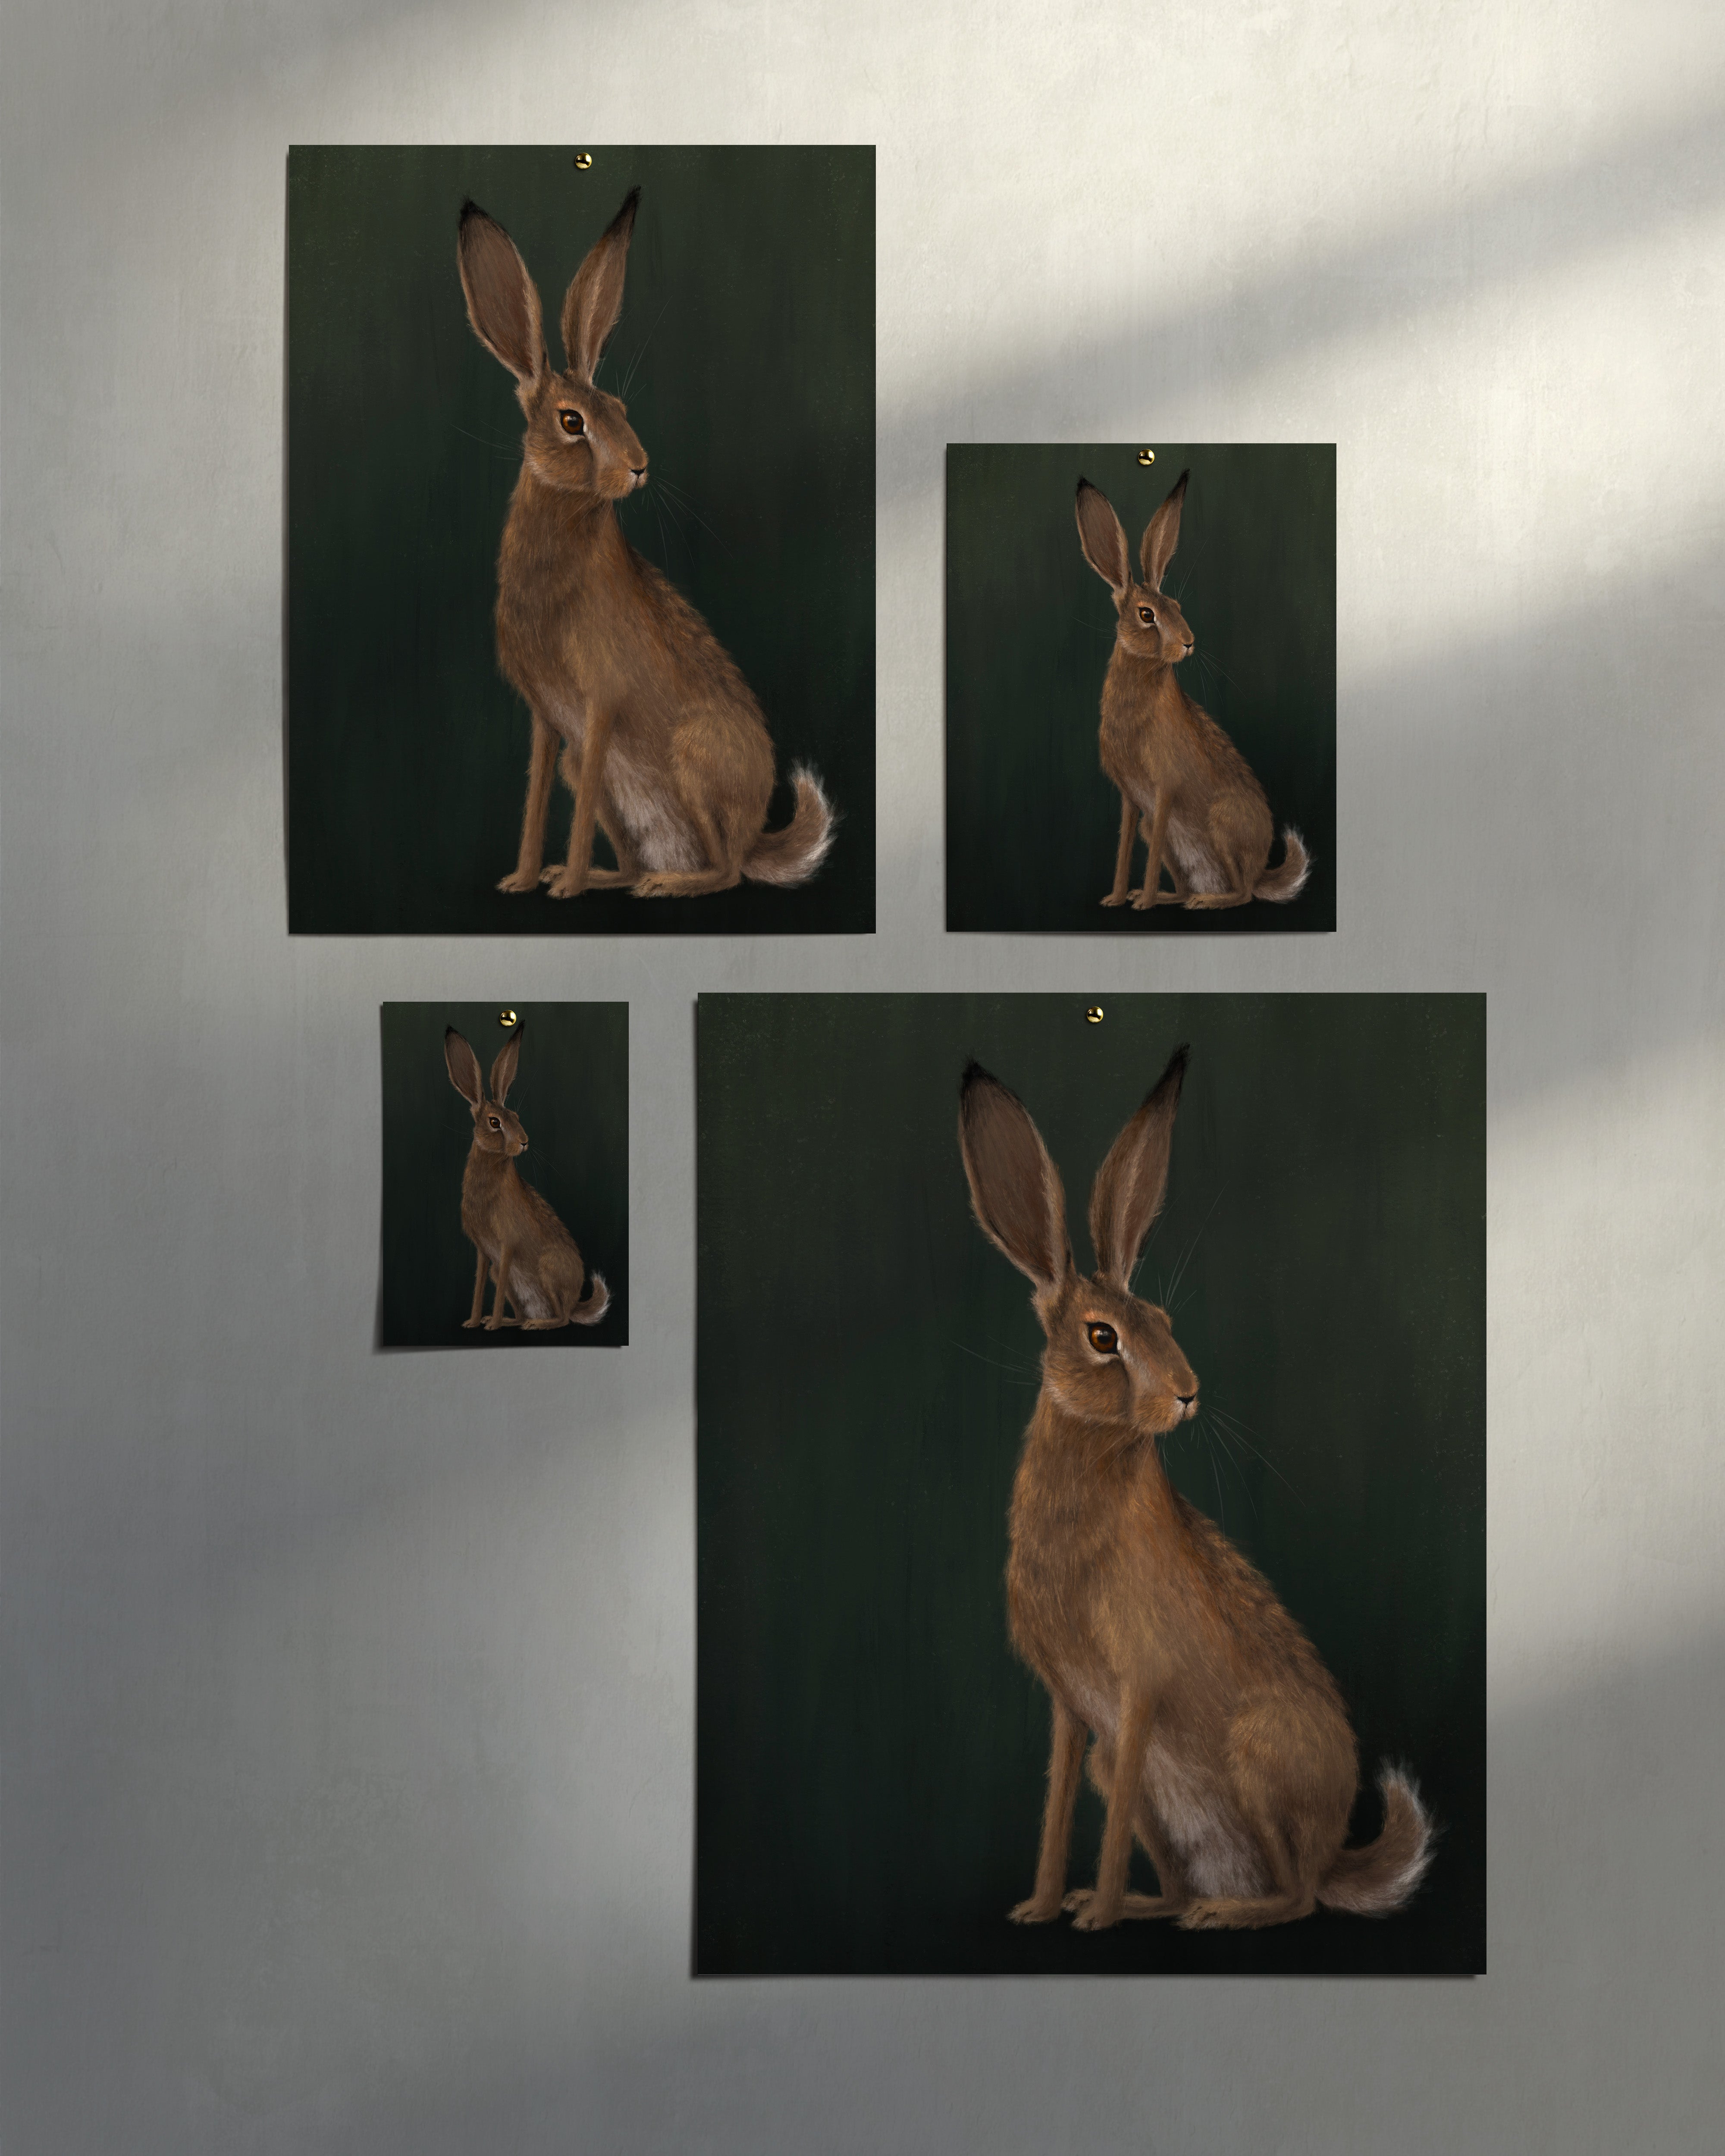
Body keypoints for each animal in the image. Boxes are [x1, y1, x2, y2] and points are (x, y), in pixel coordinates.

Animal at [443, 1024, 610, 1331]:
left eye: (516, 1116)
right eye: (495, 1122)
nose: (524, 1142)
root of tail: (574, 1303)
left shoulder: (507, 1245)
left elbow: (495, 1291)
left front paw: (491, 1326)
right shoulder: (485, 1253)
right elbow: (479, 1286)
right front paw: (474, 1322)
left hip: (549, 1269)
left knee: (563, 1319)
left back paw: (537, 1324)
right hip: (507, 1274)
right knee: (523, 1310)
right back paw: (512, 1321)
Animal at [456, 188, 836, 901]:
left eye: (622, 409)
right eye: (572, 421)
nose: (638, 467)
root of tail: (755, 836)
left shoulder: (600, 703)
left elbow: (572, 808)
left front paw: (564, 888)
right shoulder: (550, 722)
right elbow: (537, 797)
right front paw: (525, 879)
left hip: (694, 759)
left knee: (726, 872)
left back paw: (666, 884)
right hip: (608, 776)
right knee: (638, 850)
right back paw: (613, 877)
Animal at [957, 1047, 1433, 1931]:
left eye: (1166, 1321)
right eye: (1103, 1336)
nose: (1186, 1393)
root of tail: (1333, 1852)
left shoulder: (1138, 1689)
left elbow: (1105, 1820)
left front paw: (1093, 1919)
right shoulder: (1076, 1713)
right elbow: (1058, 1806)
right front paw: (1043, 1907)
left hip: (1258, 1757)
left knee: (1298, 1899)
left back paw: (1223, 1914)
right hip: (1147, 1780)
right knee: (1186, 1875)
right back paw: (1152, 1905)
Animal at [1075, 470, 1310, 911]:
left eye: (1178, 607)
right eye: (1147, 614)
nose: (1188, 643)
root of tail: (1260, 871)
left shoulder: (1164, 789)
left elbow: (1147, 855)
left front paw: (1142, 904)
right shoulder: (1133, 801)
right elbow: (1125, 847)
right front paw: (1117, 898)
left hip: (1223, 823)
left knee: (1243, 894)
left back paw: (1206, 901)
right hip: (1167, 833)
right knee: (1188, 881)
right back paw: (1173, 897)